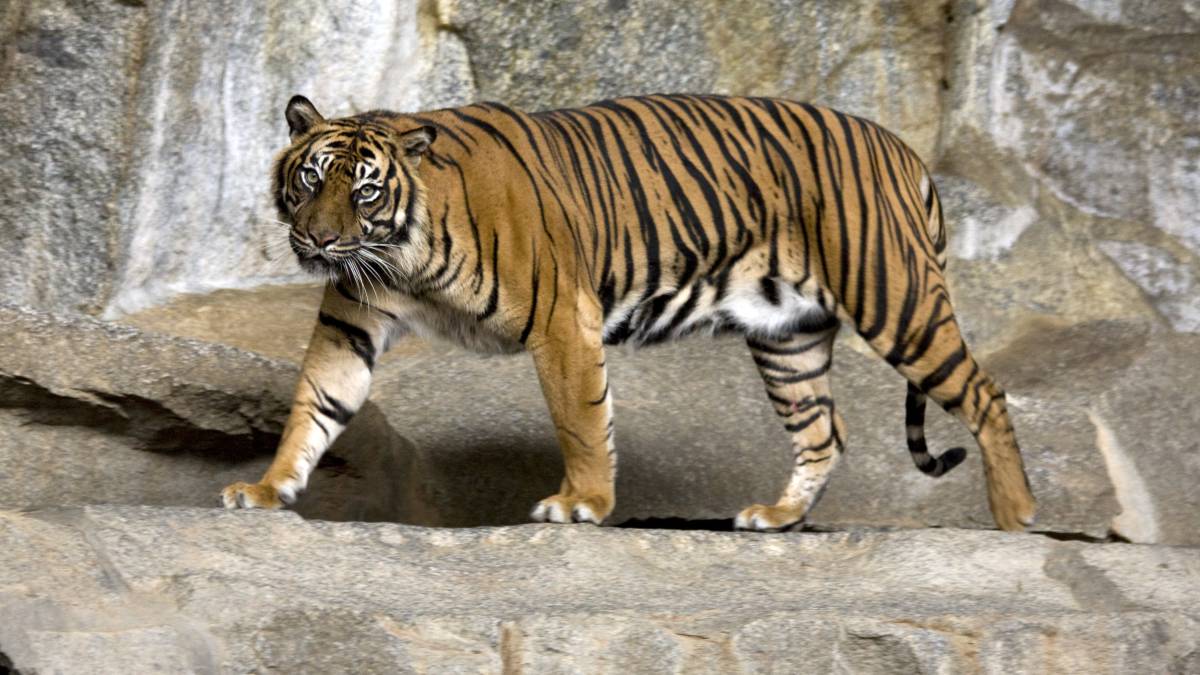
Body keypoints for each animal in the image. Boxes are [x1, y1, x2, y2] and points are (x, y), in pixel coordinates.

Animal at [221, 93, 1037, 532]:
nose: (319, 240)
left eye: (363, 190)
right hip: (789, 336)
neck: (402, 255)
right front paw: (266, 489)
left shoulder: (561, 317)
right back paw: (776, 518)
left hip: (895, 297)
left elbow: (581, 420)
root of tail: (903, 149)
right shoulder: (350, 324)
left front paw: (581, 502)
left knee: (985, 393)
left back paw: (1016, 517)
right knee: (822, 432)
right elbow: (314, 406)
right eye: (310, 179)